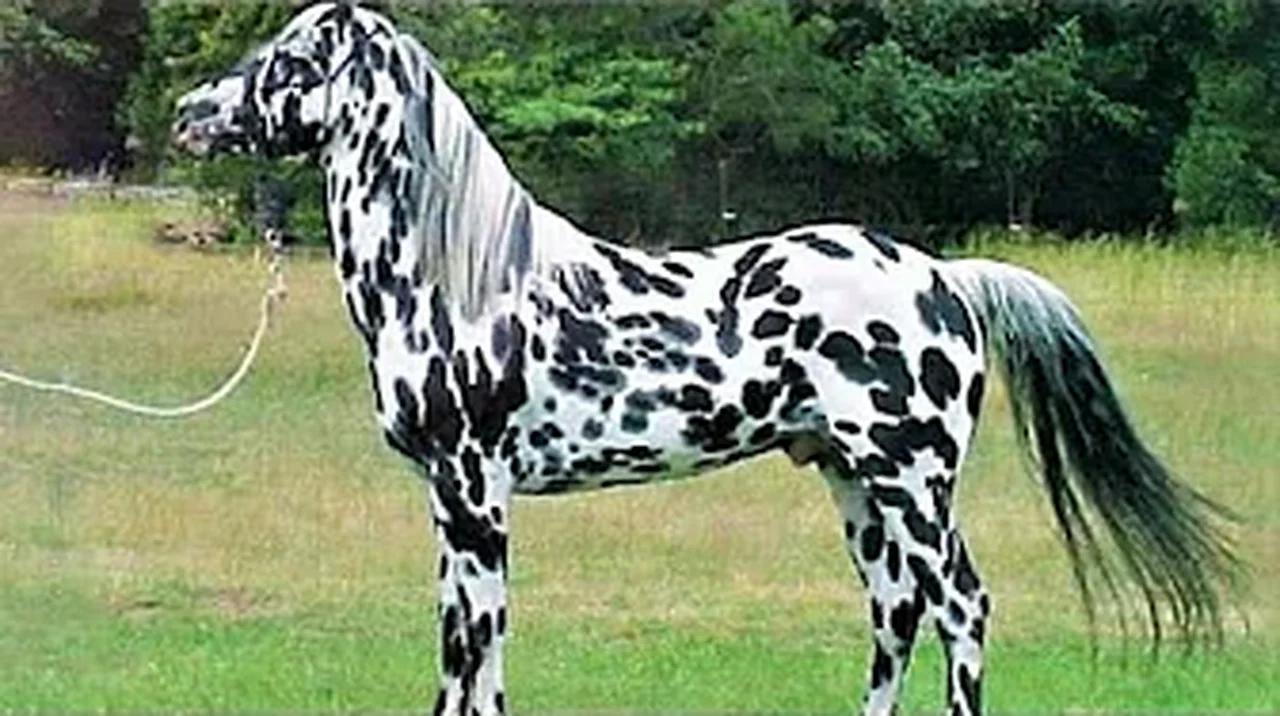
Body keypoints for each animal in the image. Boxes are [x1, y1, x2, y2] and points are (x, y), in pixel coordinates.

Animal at [172, 4, 1237, 715]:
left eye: (287, 60)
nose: (188, 112)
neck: (457, 277)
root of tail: (943, 276)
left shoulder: (475, 494)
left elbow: (474, 650)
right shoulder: (451, 498)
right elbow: (467, 653)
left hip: (913, 484)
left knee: (961, 609)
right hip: (855, 485)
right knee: (894, 612)